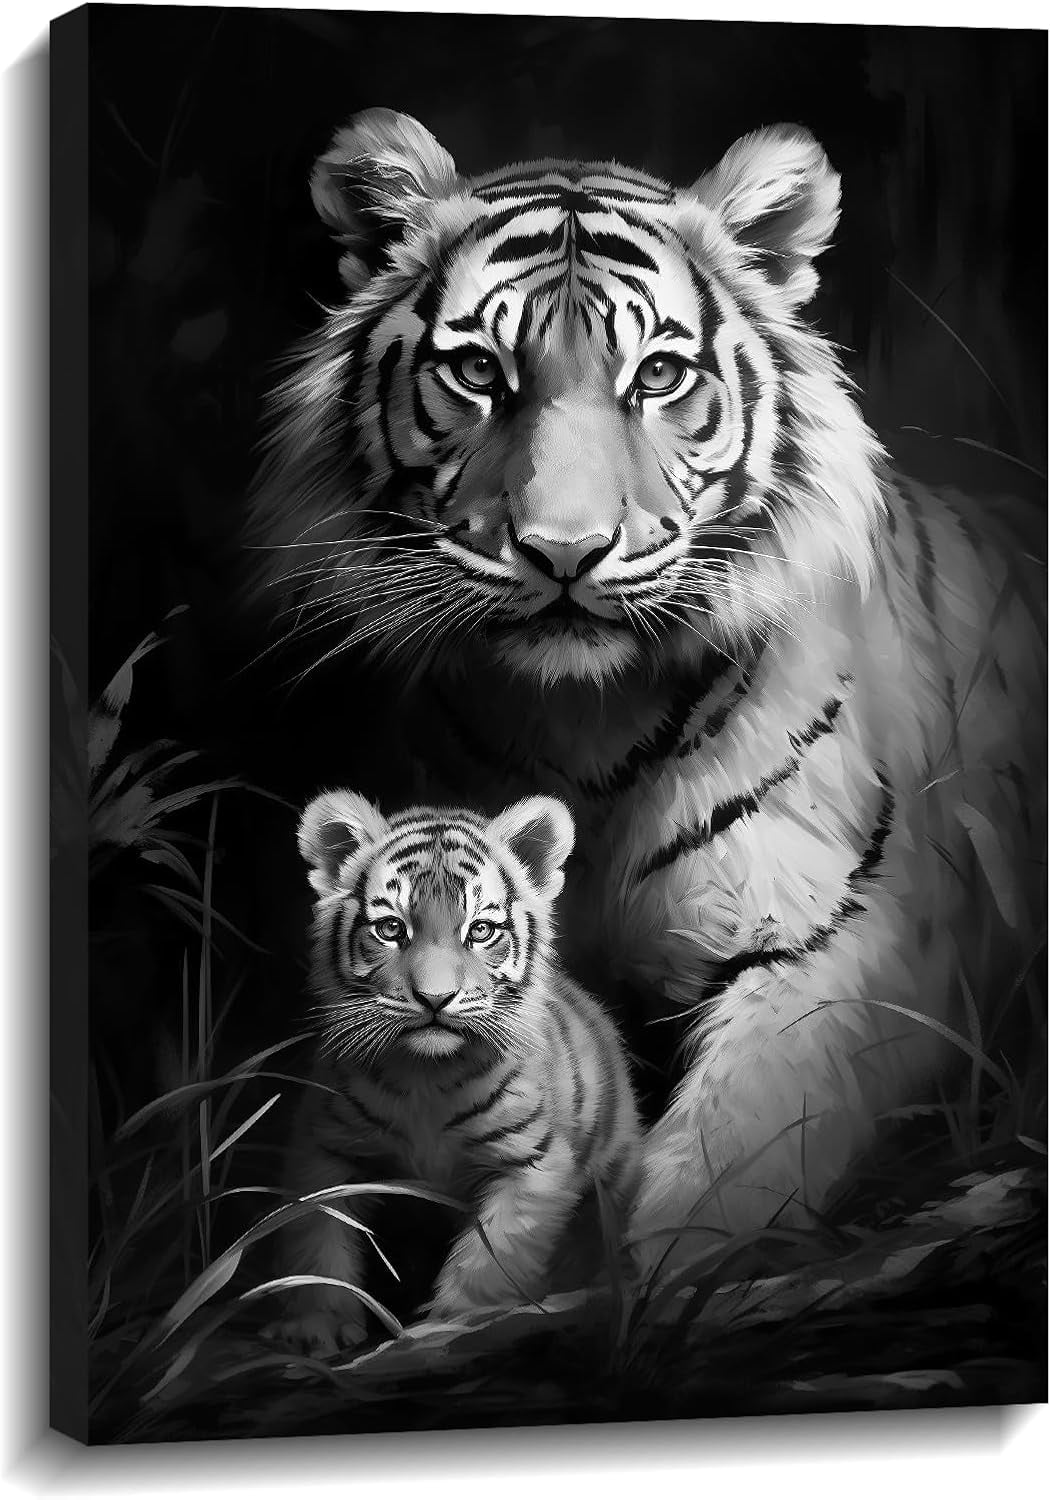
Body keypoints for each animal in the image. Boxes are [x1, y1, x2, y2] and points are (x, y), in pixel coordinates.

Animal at [248, 109, 1046, 1279]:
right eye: (479, 372)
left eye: (659, 376)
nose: (564, 551)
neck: (582, 728)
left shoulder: (843, 942)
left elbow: (727, 1160)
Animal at [264, 789, 641, 1354]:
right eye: (391, 928)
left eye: (480, 930)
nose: (435, 998)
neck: (427, 1077)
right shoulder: (325, 1148)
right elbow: (317, 1238)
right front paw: (316, 1325)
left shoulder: (531, 1164)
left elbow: (491, 1261)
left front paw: (454, 1327)